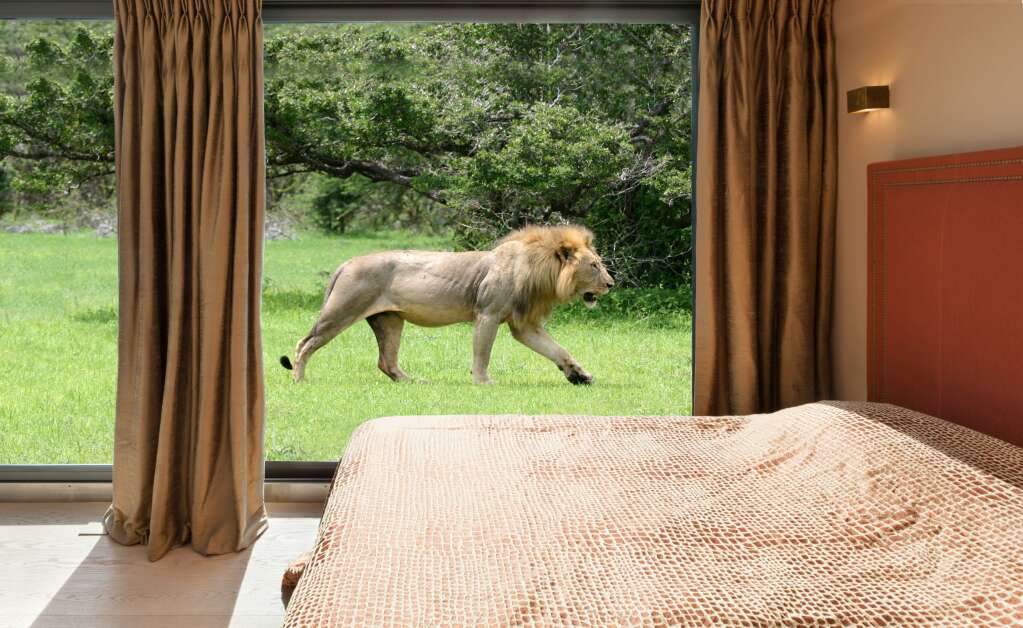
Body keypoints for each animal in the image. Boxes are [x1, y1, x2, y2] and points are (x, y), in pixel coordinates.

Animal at [279, 224, 615, 385]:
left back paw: (414, 382)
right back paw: (299, 379)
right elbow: (482, 353)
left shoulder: (524, 324)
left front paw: (579, 375)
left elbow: (558, 350)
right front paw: (482, 382)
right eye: (595, 265)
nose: (611, 284)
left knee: (386, 362)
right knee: (304, 343)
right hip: (341, 311)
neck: (540, 270)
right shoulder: (488, 313)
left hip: (389, 319)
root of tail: (346, 262)